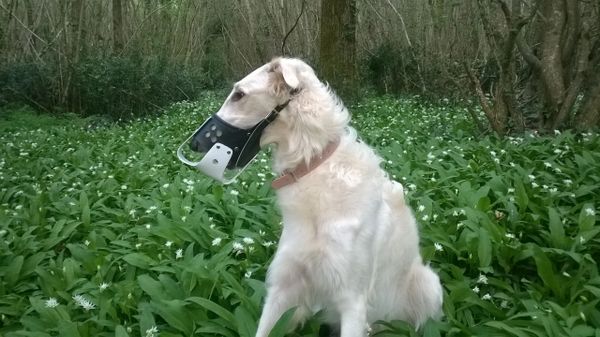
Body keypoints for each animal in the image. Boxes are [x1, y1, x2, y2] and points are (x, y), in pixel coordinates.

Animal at [186, 57, 440, 336]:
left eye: (239, 95)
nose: (194, 144)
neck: (312, 165)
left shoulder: (353, 301)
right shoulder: (283, 287)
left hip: (429, 285)